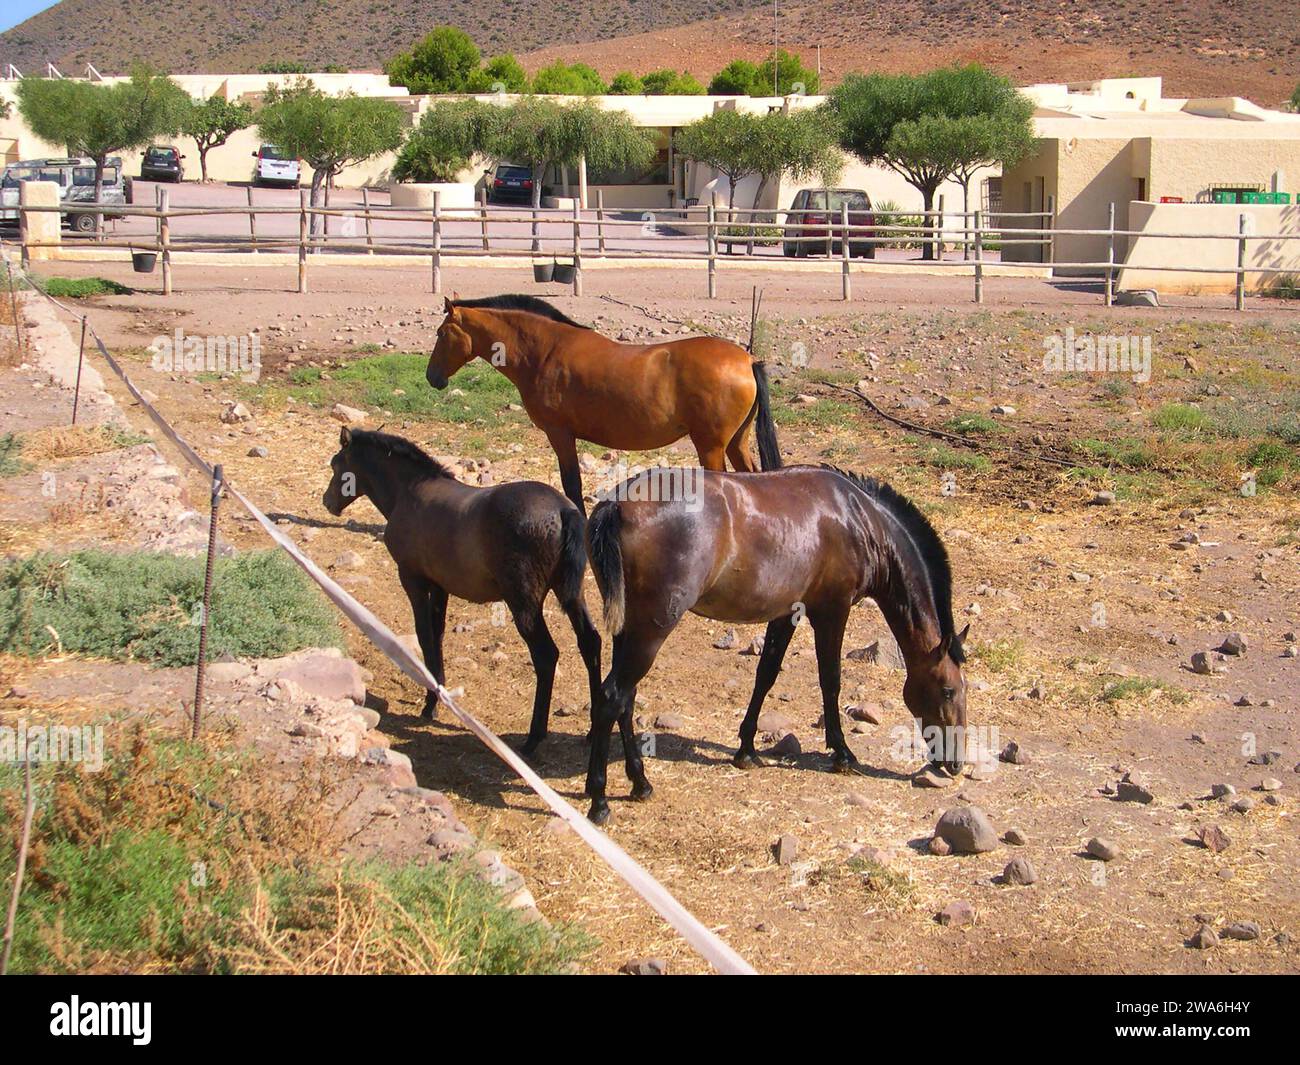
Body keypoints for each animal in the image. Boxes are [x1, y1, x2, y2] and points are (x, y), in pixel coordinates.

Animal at [321, 427, 602, 756]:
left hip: (523, 601)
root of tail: (561, 510)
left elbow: (425, 635)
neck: (409, 492)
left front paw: (430, 704)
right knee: (590, 643)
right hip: (570, 593)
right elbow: (438, 634)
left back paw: (532, 739)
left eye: (335, 464)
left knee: (546, 655)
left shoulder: (412, 579)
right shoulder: (441, 586)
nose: (327, 501)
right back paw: (593, 730)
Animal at [424, 294, 782, 514]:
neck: (545, 351)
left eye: (441, 333)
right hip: (736, 442)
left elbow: (572, 483)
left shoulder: (560, 434)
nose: (432, 377)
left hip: (711, 446)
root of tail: (748, 360)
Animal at [580, 465, 970, 823]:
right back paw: (599, 801)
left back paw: (639, 782)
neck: (859, 518)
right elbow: (830, 681)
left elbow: (765, 675)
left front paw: (746, 749)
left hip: (628, 631)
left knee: (625, 700)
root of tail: (617, 504)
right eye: (948, 691)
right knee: (612, 697)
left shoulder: (786, 614)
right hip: (650, 632)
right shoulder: (832, 612)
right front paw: (842, 752)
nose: (956, 764)